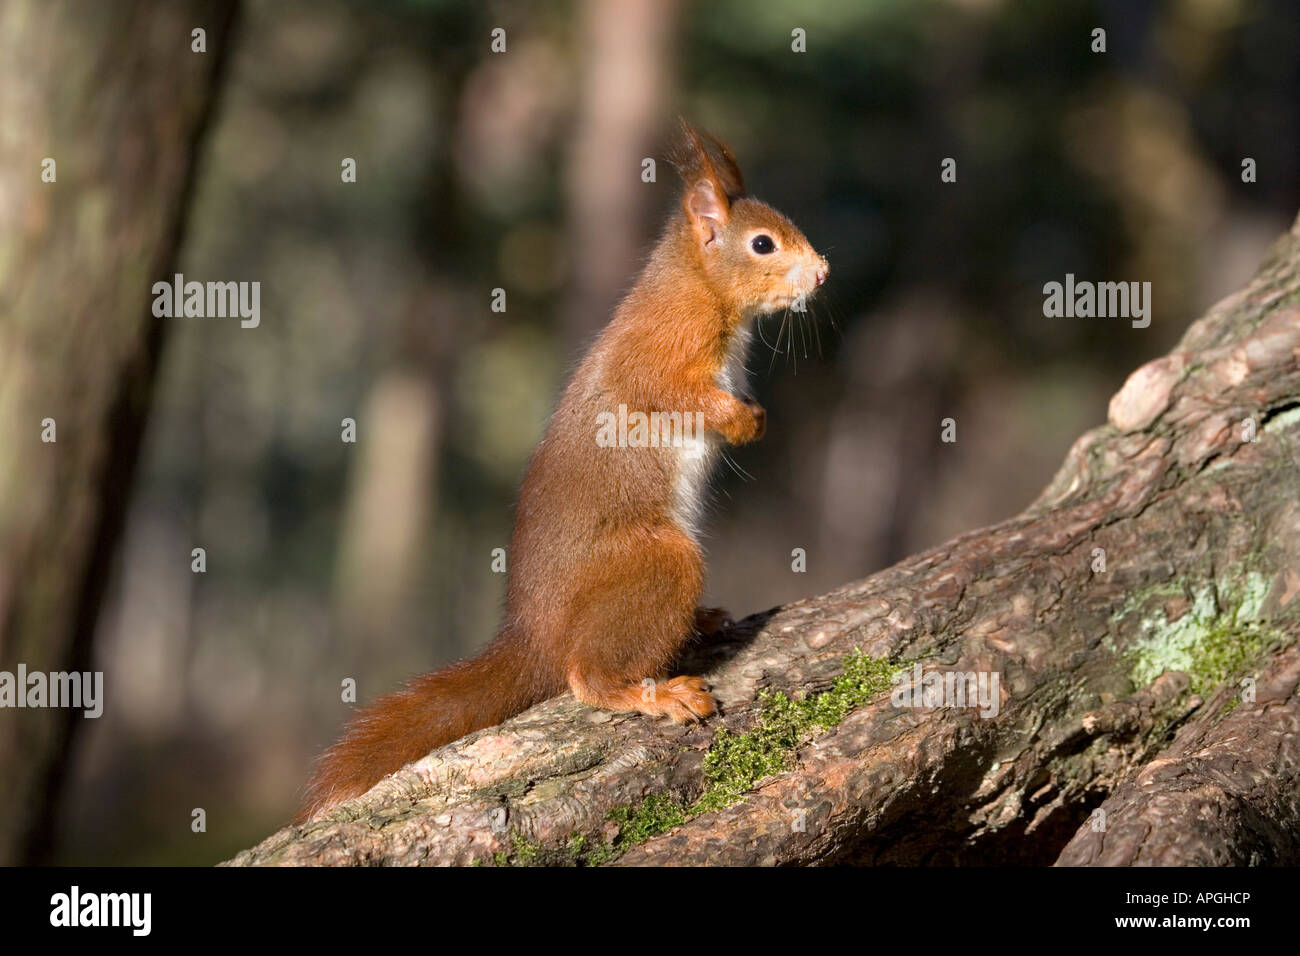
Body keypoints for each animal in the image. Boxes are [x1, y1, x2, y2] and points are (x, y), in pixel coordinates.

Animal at [298, 121, 828, 821]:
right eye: (762, 244)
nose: (823, 271)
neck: (701, 288)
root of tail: (537, 636)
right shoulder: (658, 349)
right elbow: (660, 391)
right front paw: (739, 420)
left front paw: (756, 418)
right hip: (655, 563)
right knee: (585, 678)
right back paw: (654, 693)